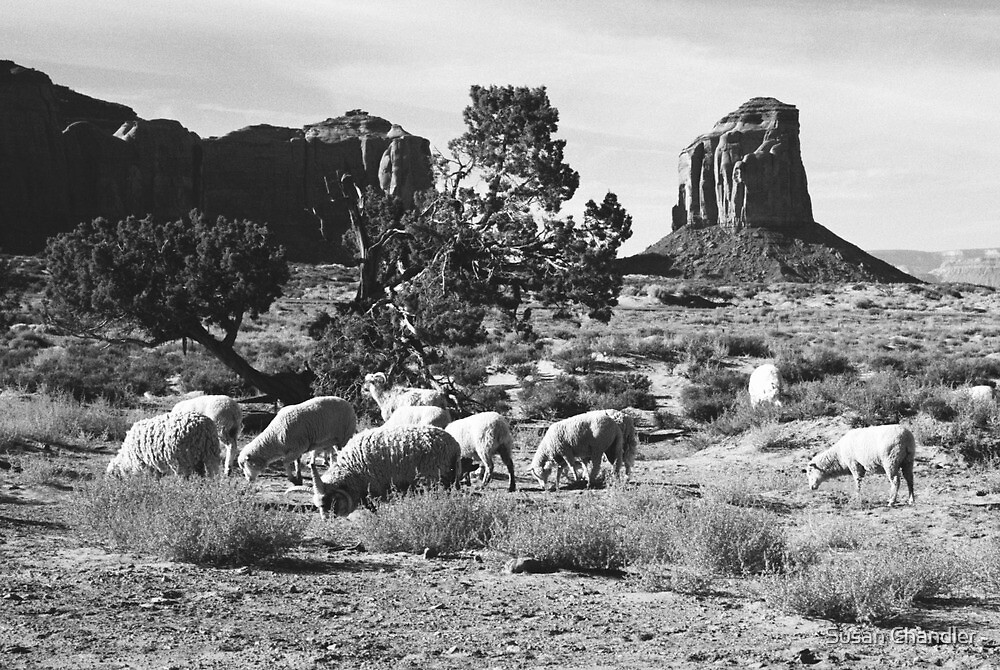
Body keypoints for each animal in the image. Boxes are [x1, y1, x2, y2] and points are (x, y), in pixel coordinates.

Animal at [310, 424, 463, 518]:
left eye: (330, 500)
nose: (325, 519)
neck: (351, 471)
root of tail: (455, 446)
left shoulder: (373, 489)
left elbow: (374, 509)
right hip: (449, 479)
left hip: (434, 480)